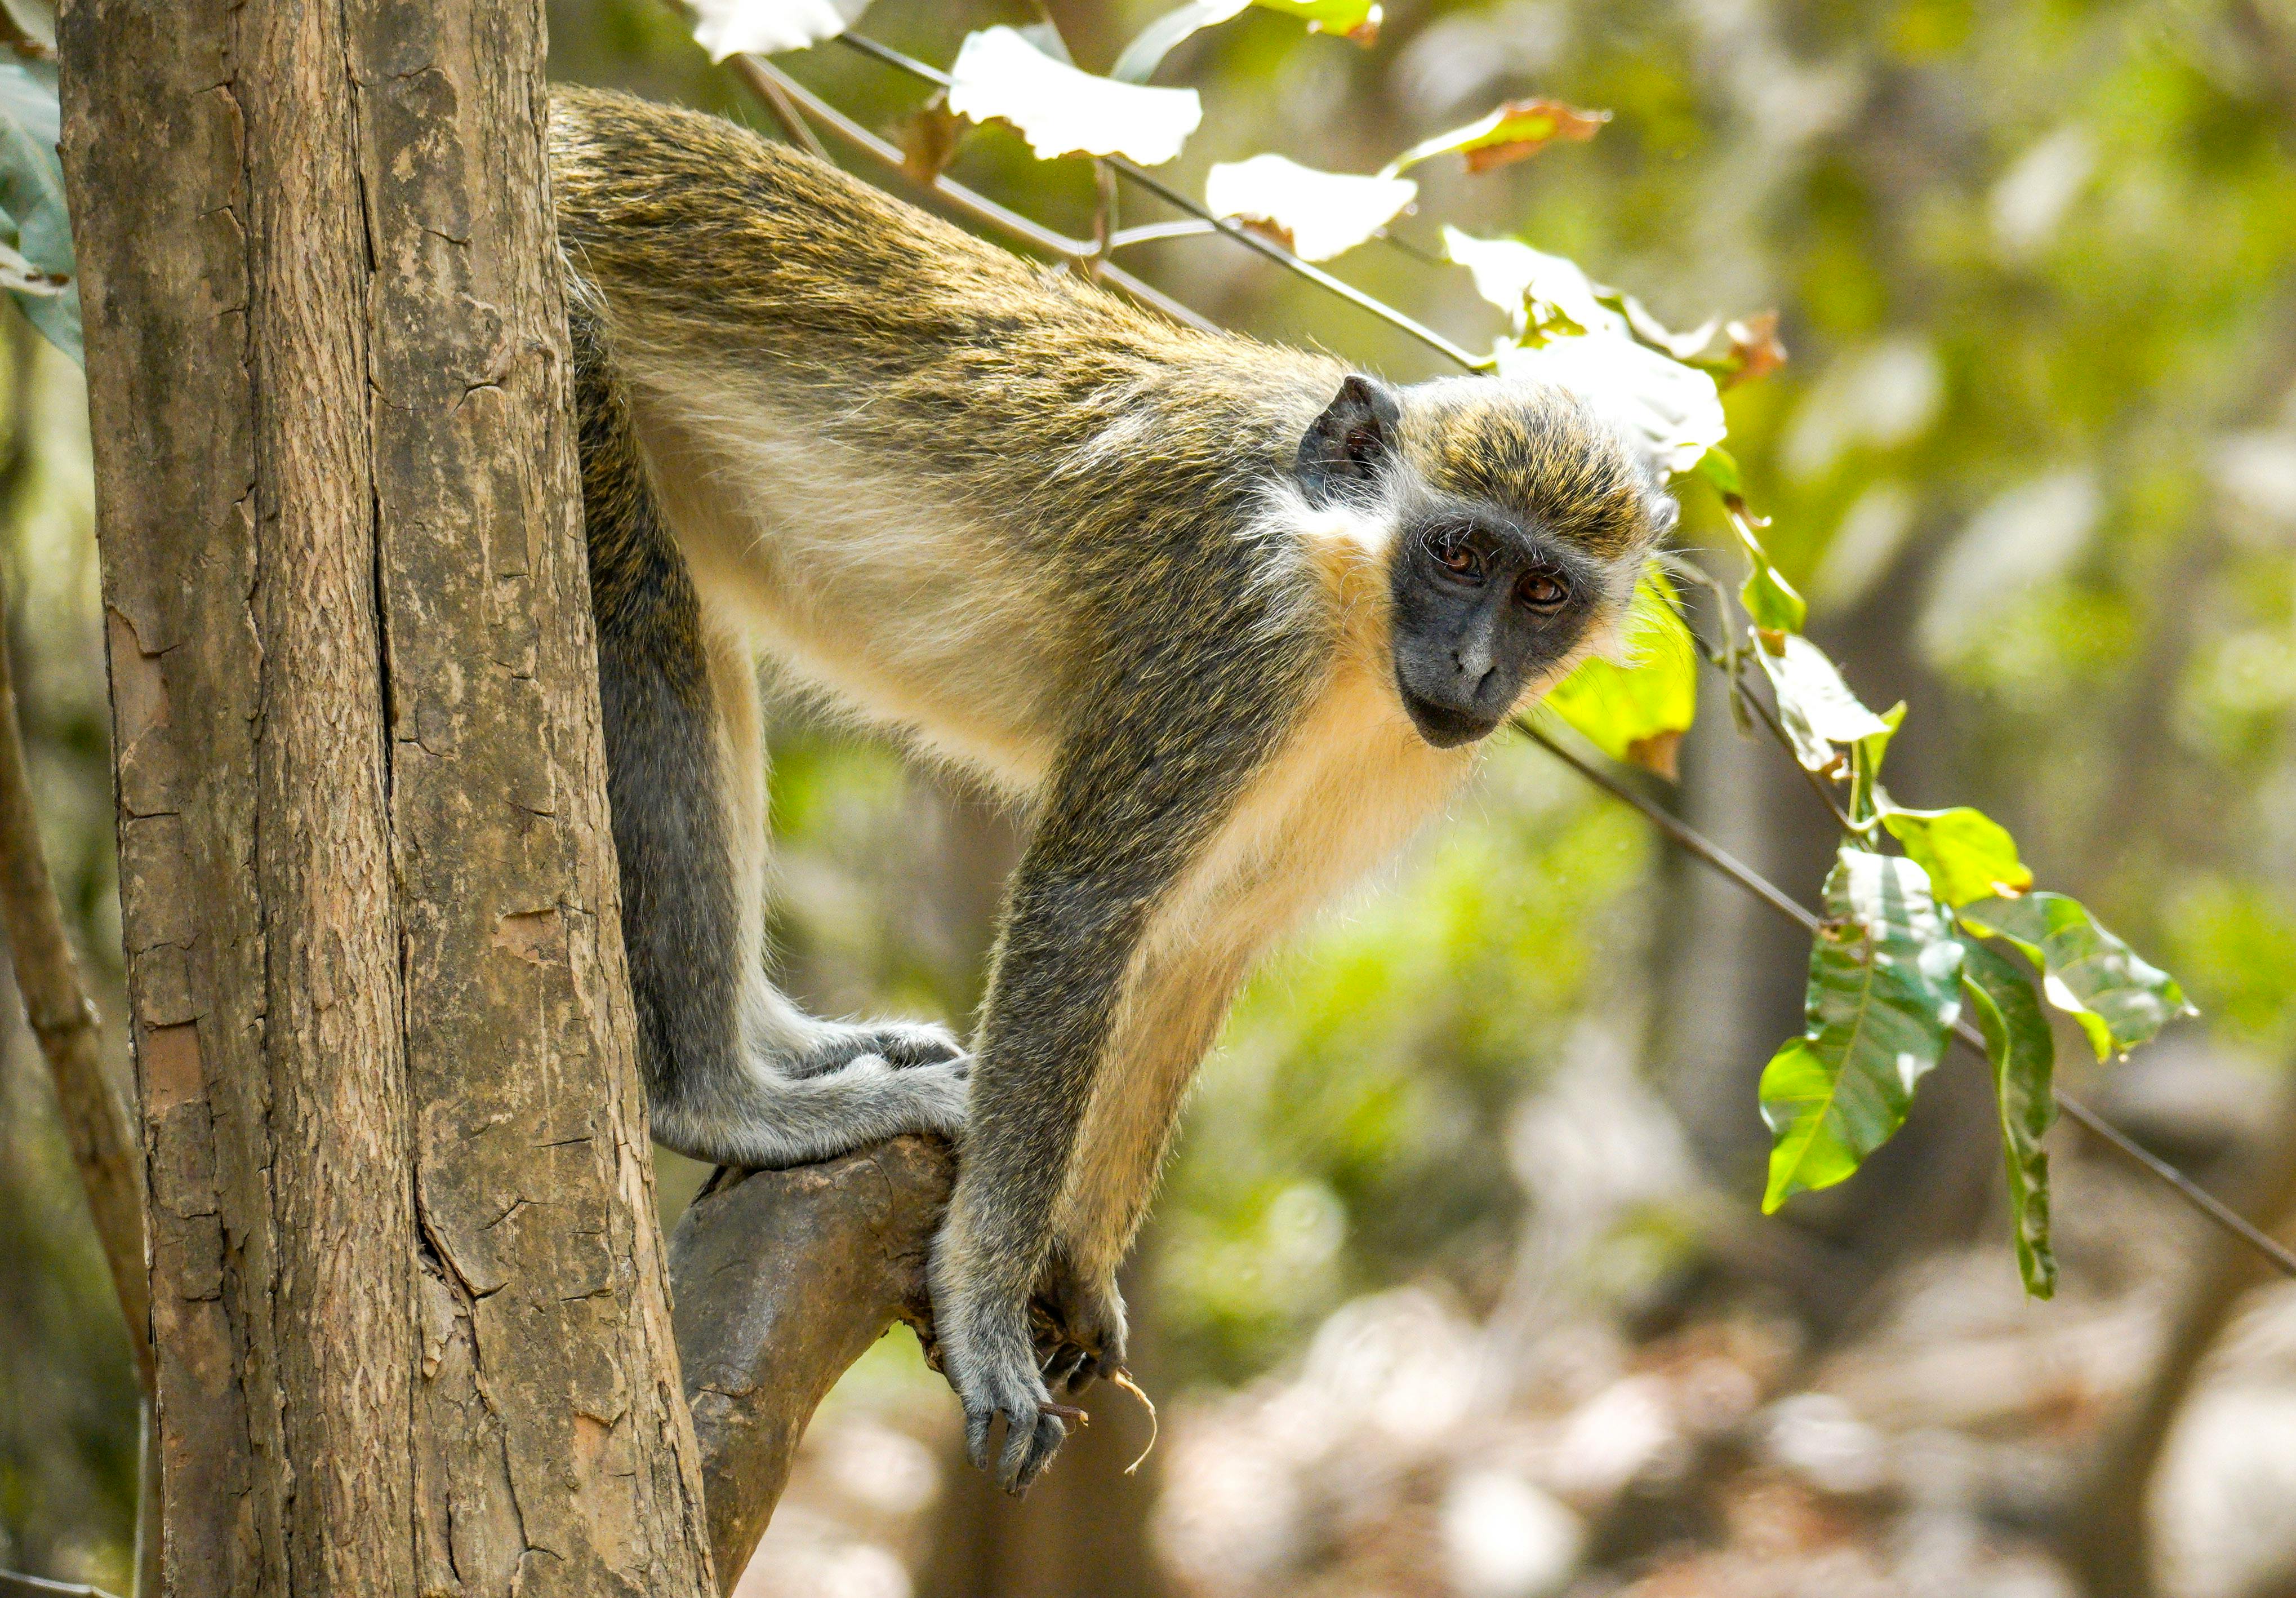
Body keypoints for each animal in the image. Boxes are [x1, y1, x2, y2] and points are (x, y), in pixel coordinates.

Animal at [547, 85, 1676, 1493]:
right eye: (1459, 554)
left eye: (1542, 591)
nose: (1474, 668)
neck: (1345, 594)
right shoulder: (1225, 639)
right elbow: (1090, 905)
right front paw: (987, 1299)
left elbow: (1197, 943)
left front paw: (1074, 1264)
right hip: (558, 324)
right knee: (645, 607)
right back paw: (724, 1095)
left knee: (688, 616)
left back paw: (790, 1045)